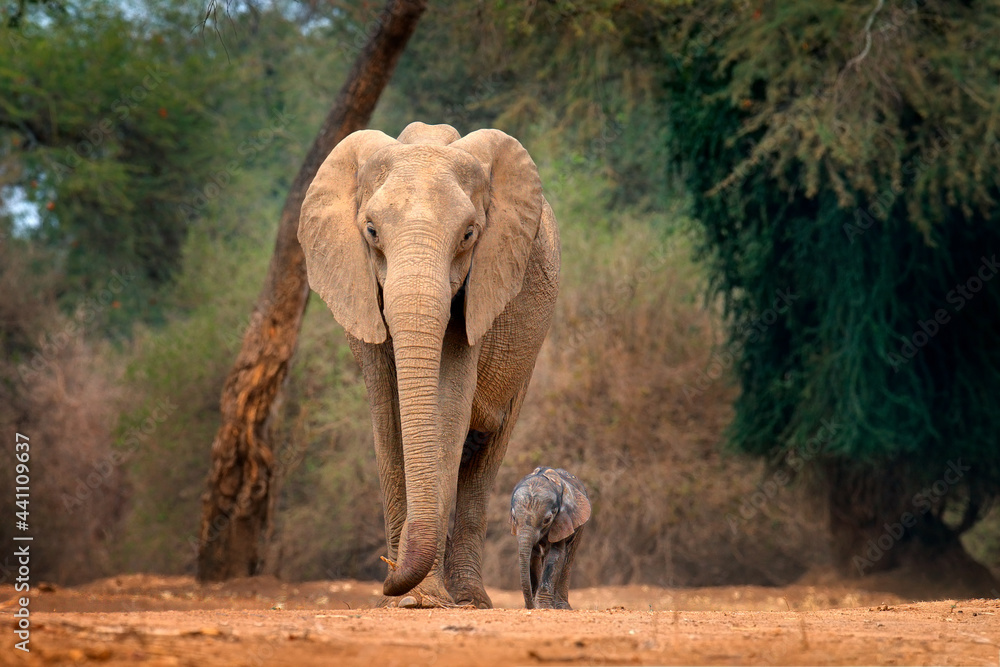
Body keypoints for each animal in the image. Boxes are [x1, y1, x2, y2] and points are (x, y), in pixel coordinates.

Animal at [298, 121, 560, 609]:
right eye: (371, 231)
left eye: (469, 235)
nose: (386, 574)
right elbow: (388, 416)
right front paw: (402, 600)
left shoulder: (480, 288)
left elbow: (448, 408)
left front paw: (422, 598)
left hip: (529, 350)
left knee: (487, 457)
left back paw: (471, 599)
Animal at [510, 467, 591, 610]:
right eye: (514, 517)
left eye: (547, 520)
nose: (530, 606)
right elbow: (533, 556)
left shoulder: (563, 520)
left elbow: (555, 556)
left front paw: (543, 607)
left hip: (580, 524)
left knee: (568, 558)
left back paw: (562, 607)